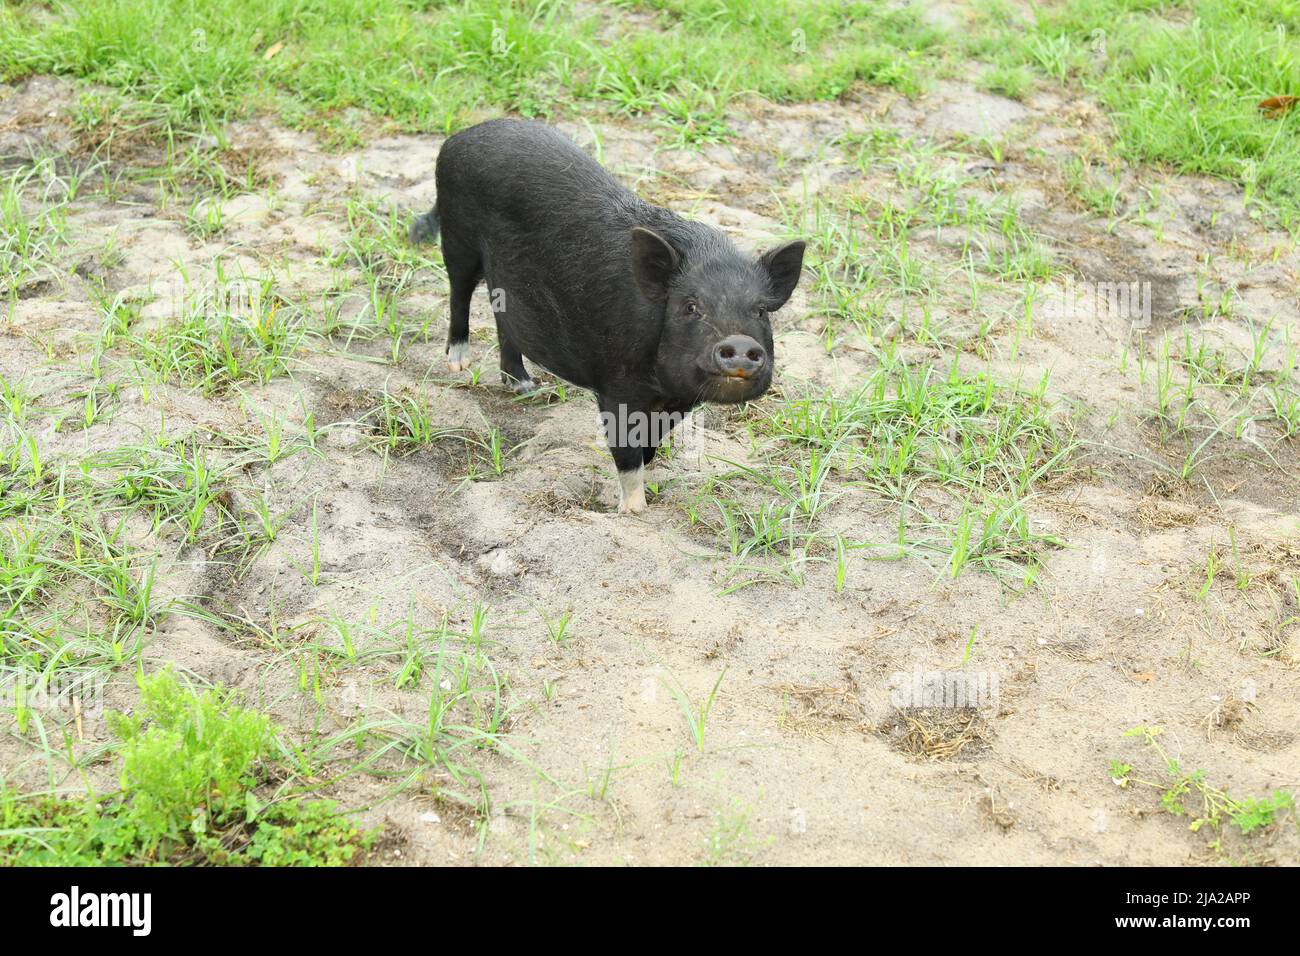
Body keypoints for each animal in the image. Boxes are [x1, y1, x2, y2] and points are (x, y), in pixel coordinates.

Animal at [410, 119, 805, 513]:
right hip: (457, 236)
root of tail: (460, 136)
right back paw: (459, 364)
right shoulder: (616, 383)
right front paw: (632, 511)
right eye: (691, 306)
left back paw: (526, 387)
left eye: (760, 310)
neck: (663, 387)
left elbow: (651, 444)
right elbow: (626, 450)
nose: (739, 343)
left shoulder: (680, 402)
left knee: (501, 315)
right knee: (458, 293)